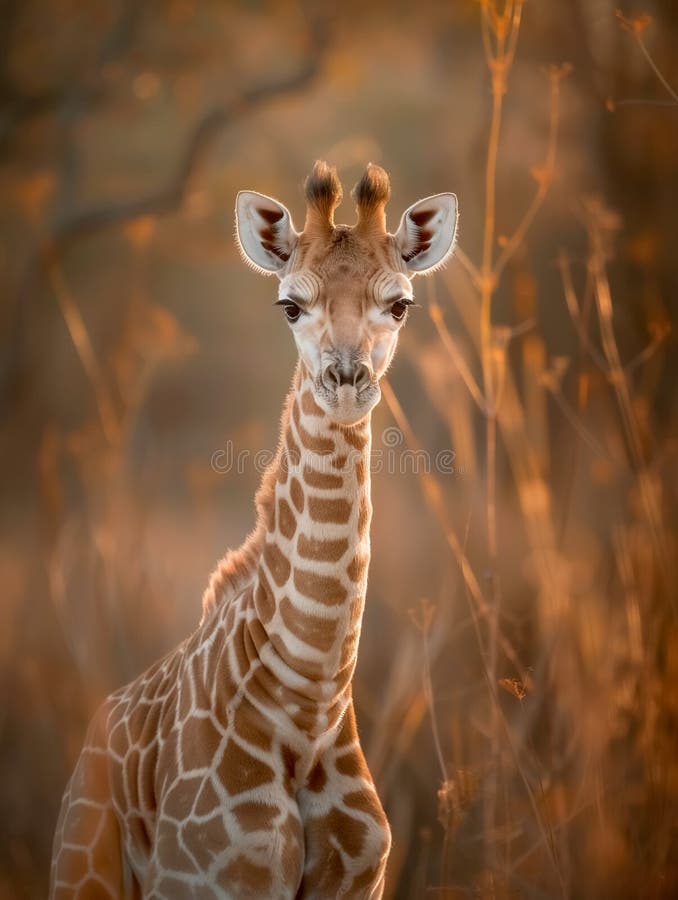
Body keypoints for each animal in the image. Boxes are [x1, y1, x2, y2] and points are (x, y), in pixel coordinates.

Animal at [49, 161, 458, 899]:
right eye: (290, 305)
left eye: (400, 305)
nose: (346, 379)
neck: (309, 702)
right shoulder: (210, 880)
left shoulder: (359, 882)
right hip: (79, 871)